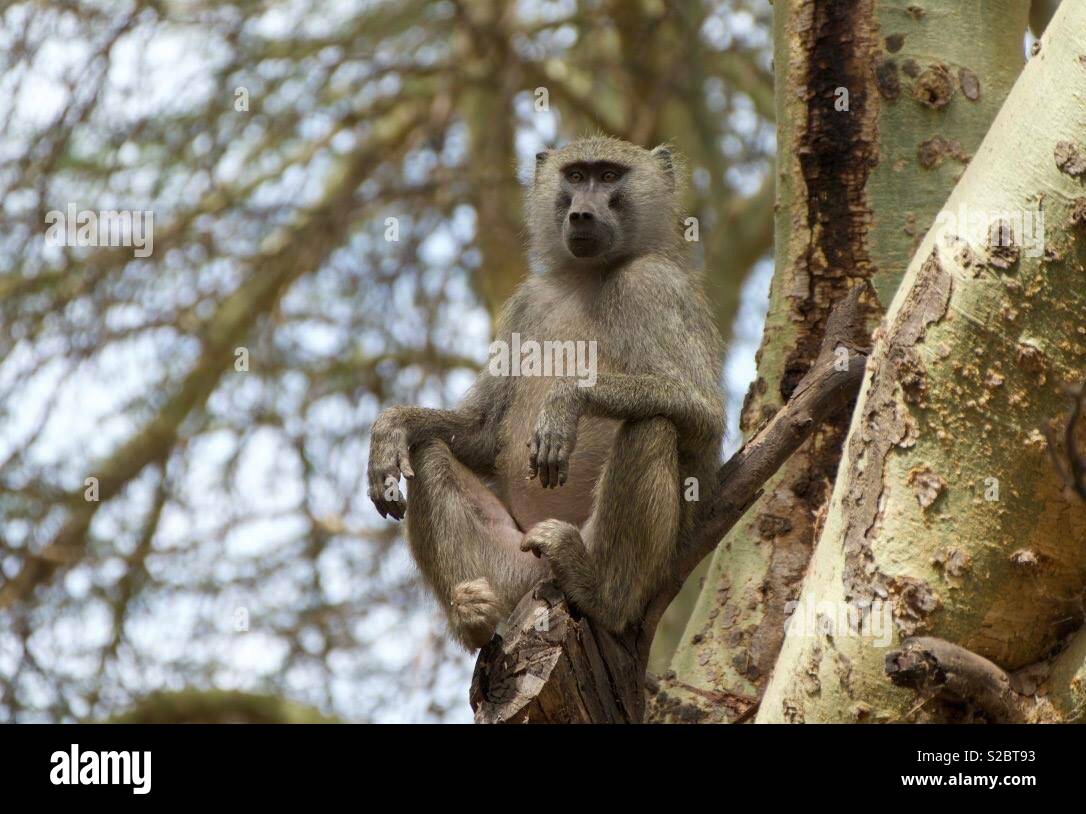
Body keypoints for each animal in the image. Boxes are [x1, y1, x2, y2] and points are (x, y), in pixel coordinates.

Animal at [367, 136, 725, 649]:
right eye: (575, 176)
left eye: (609, 176)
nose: (581, 214)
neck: (588, 275)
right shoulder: (527, 304)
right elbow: (482, 435)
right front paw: (390, 429)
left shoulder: (656, 284)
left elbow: (701, 411)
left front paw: (565, 403)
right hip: (514, 566)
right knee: (429, 452)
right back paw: (473, 617)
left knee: (651, 425)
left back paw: (601, 593)